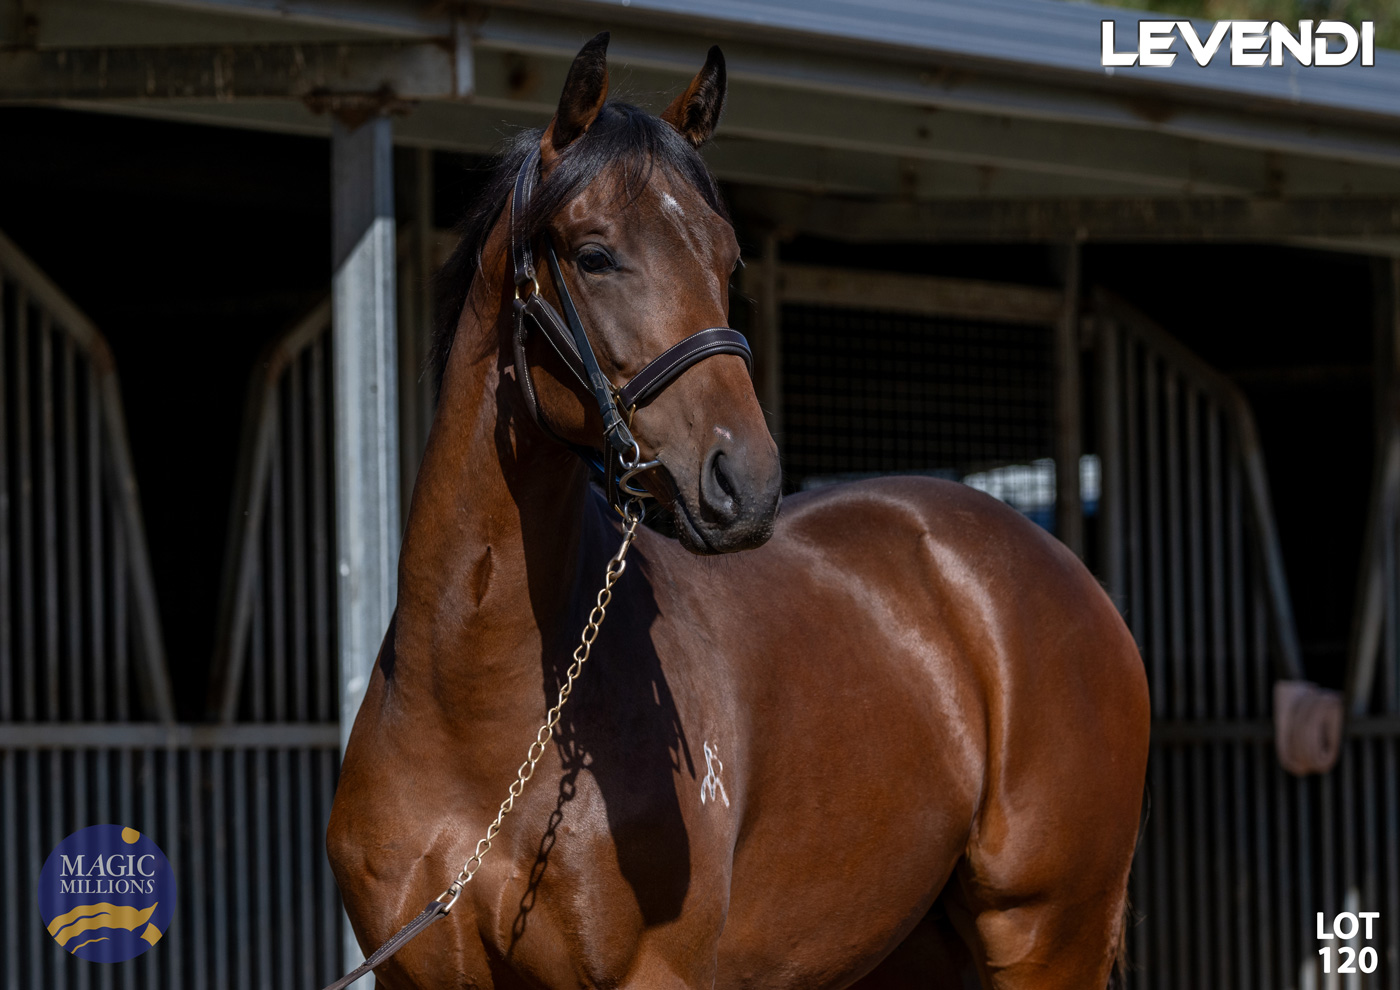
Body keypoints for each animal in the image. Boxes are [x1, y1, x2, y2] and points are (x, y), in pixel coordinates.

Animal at [327, 32, 1150, 990]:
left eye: (728, 260)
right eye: (594, 254)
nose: (746, 481)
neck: (473, 717)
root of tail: (1071, 580)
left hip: (1050, 933)